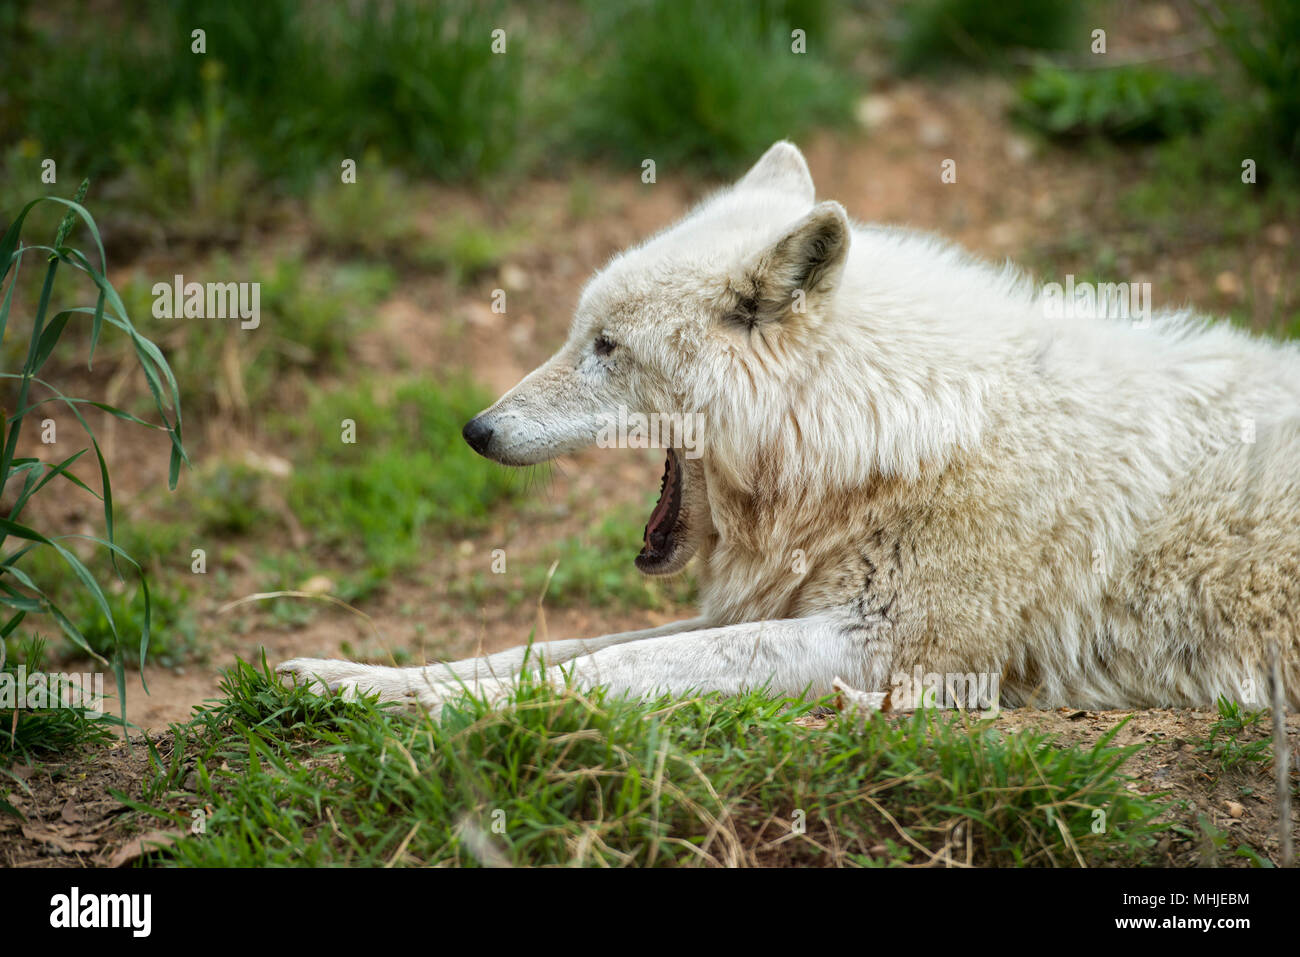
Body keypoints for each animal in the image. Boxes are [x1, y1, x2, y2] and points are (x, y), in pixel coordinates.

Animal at [279, 141, 1300, 713]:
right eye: (580, 334)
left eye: (606, 346)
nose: (476, 429)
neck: (882, 430)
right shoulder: (777, 607)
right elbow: (556, 647)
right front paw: (354, 678)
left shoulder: (887, 646)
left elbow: (612, 668)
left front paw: (465, 711)